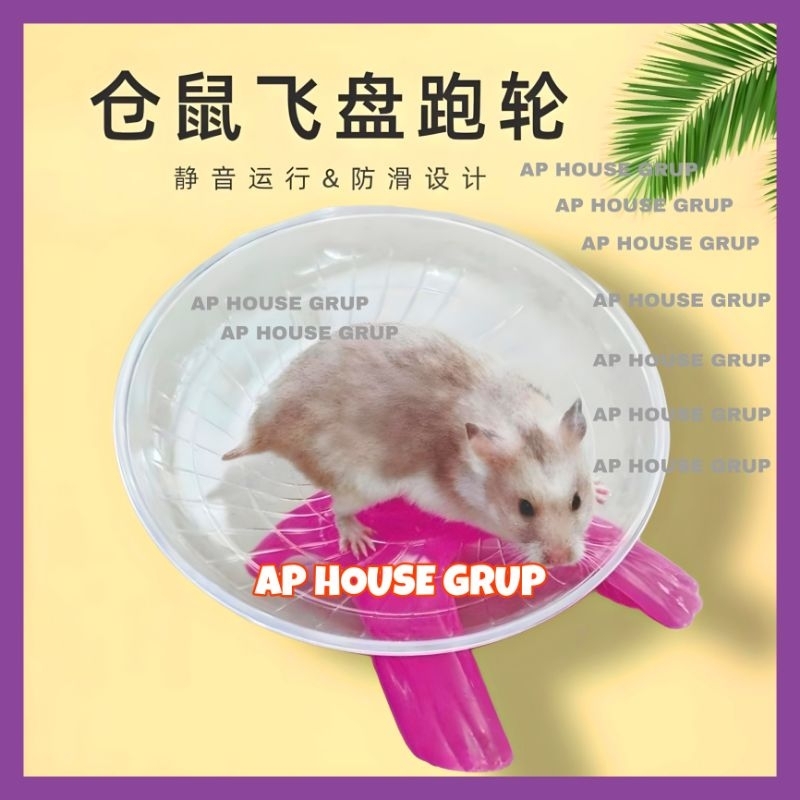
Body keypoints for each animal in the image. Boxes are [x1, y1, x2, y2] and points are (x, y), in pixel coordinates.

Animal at [222, 325, 597, 567]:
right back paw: (359, 542)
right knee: (337, 509)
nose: (562, 561)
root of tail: (263, 430)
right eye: (524, 508)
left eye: (577, 501)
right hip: (359, 485)